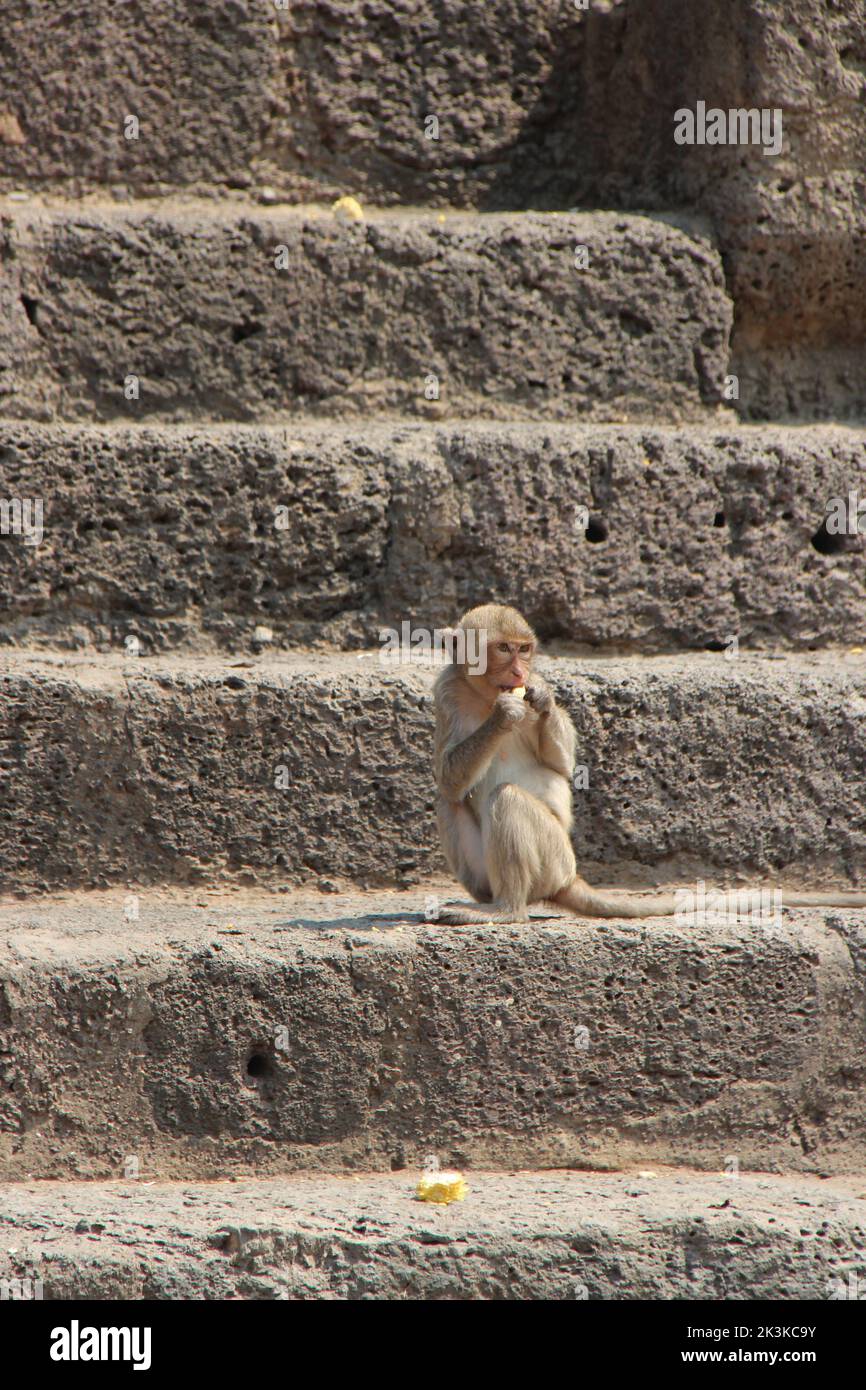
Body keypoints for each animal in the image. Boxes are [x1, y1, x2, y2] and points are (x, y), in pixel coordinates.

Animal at [432, 603, 866, 924]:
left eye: (524, 650)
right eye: (504, 649)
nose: (520, 671)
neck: (485, 694)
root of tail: (569, 878)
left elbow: (562, 765)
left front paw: (541, 698)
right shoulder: (447, 691)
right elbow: (448, 777)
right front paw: (503, 716)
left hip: (554, 858)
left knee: (507, 799)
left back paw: (508, 912)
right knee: (447, 801)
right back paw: (494, 904)